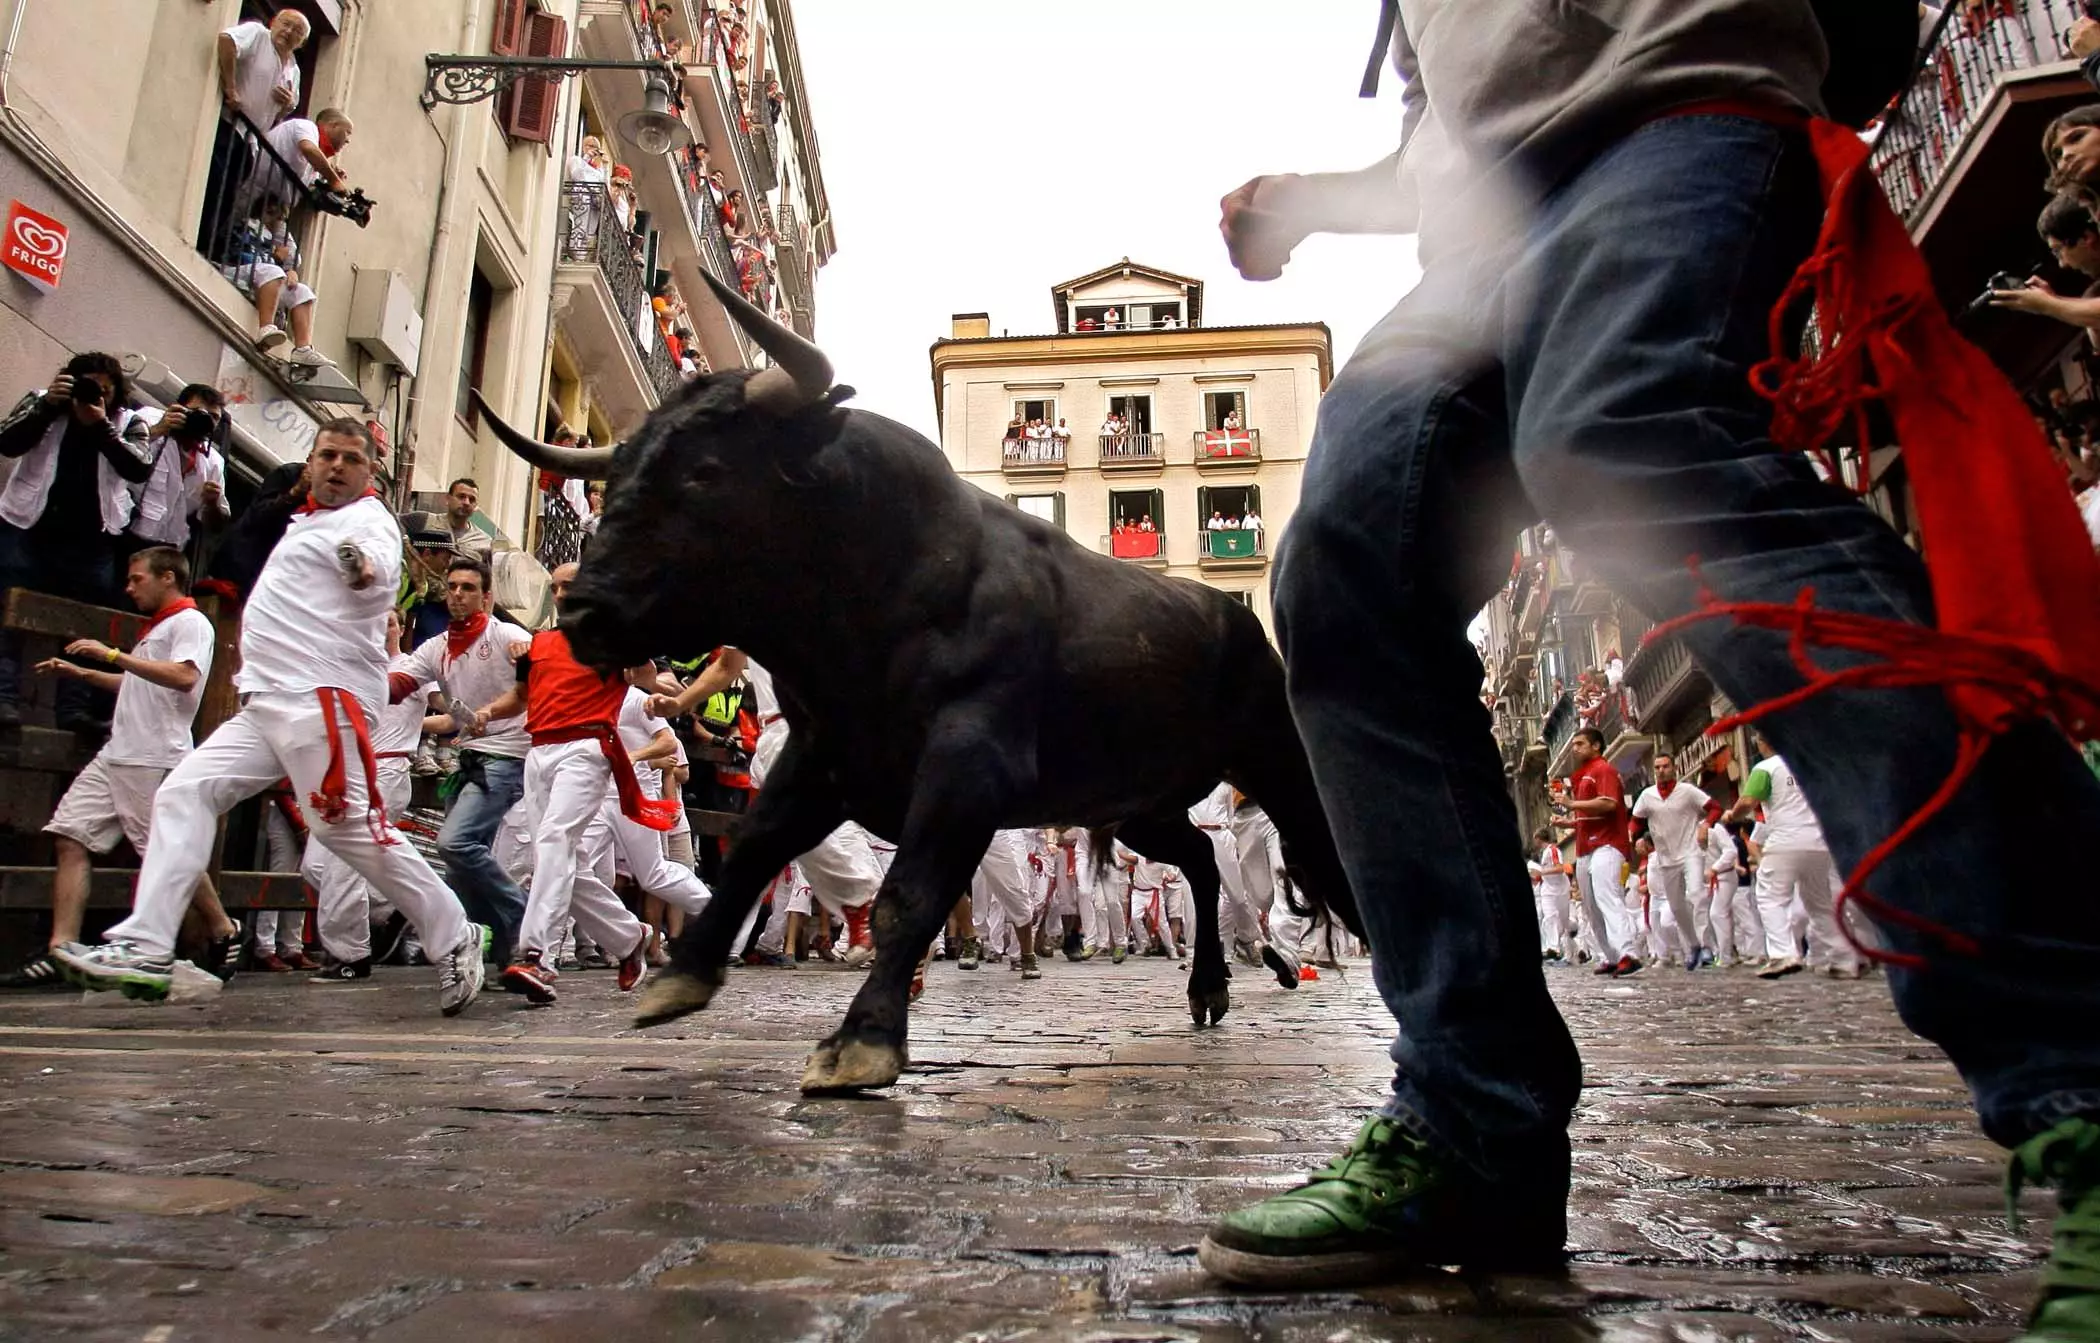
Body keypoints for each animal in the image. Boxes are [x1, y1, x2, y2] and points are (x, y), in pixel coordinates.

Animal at [472, 270, 1360, 1091]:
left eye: (705, 472)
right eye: (620, 469)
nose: (582, 609)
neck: (884, 584)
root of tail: (1236, 619)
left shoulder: (967, 765)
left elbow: (909, 894)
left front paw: (863, 1039)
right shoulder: (827, 755)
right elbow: (756, 846)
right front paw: (681, 975)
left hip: (1273, 758)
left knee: (1316, 849)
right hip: (1136, 801)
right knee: (1202, 861)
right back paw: (1210, 985)